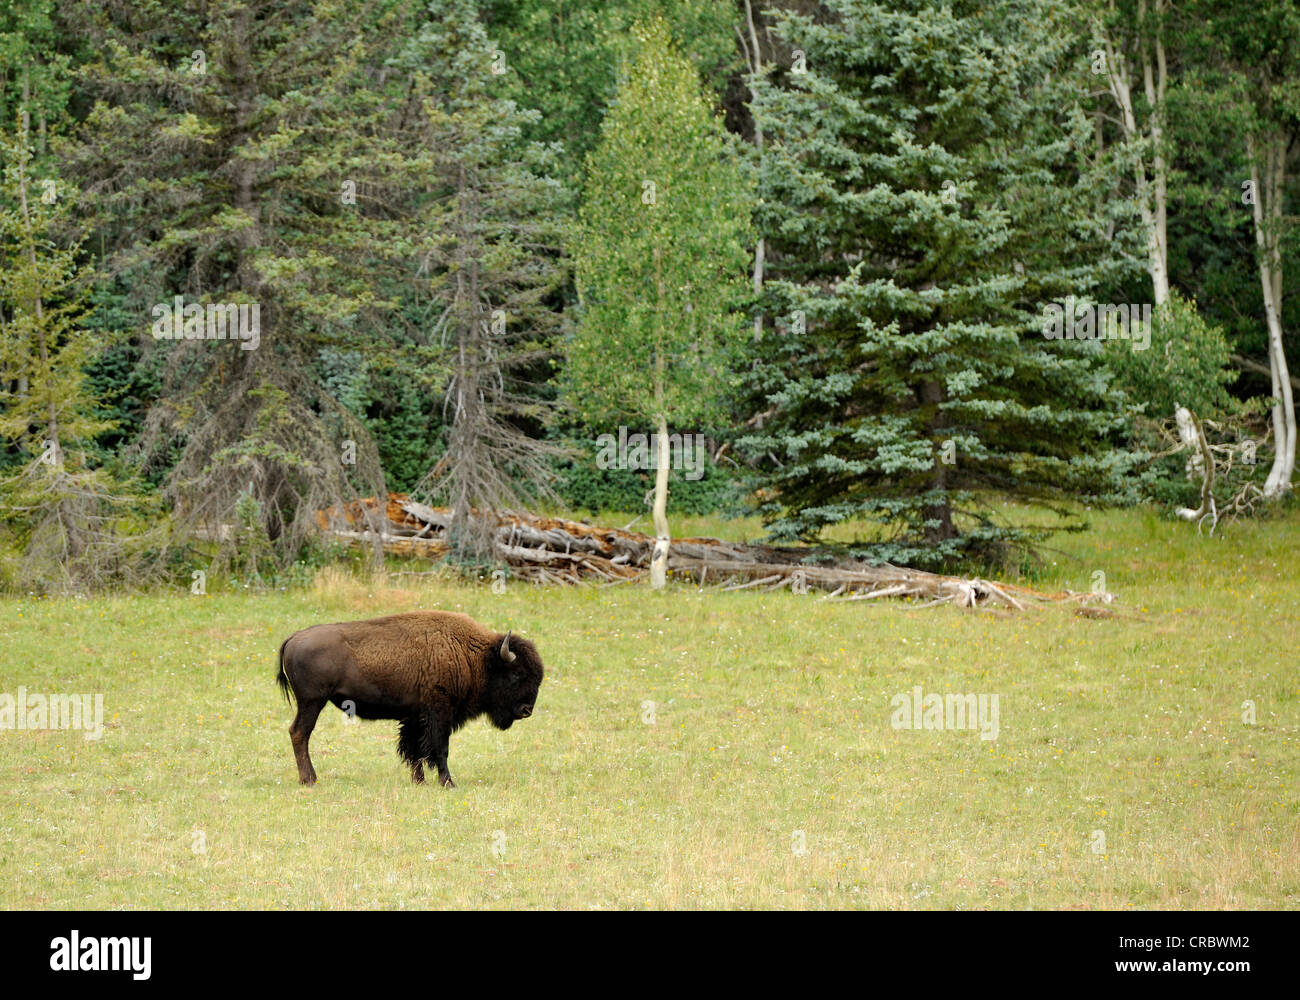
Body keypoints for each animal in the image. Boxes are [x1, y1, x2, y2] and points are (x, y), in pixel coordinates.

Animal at [276, 611, 543, 788]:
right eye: (516, 674)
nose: (526, 710)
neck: (474, 656)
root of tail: (293, 638)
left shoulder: (415, 717)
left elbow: (414, 750)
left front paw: (420, 781)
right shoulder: (439, 714)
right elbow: (439, 749)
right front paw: (448, 783)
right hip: (312, 702)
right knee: (299, 733)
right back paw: (310, 780)